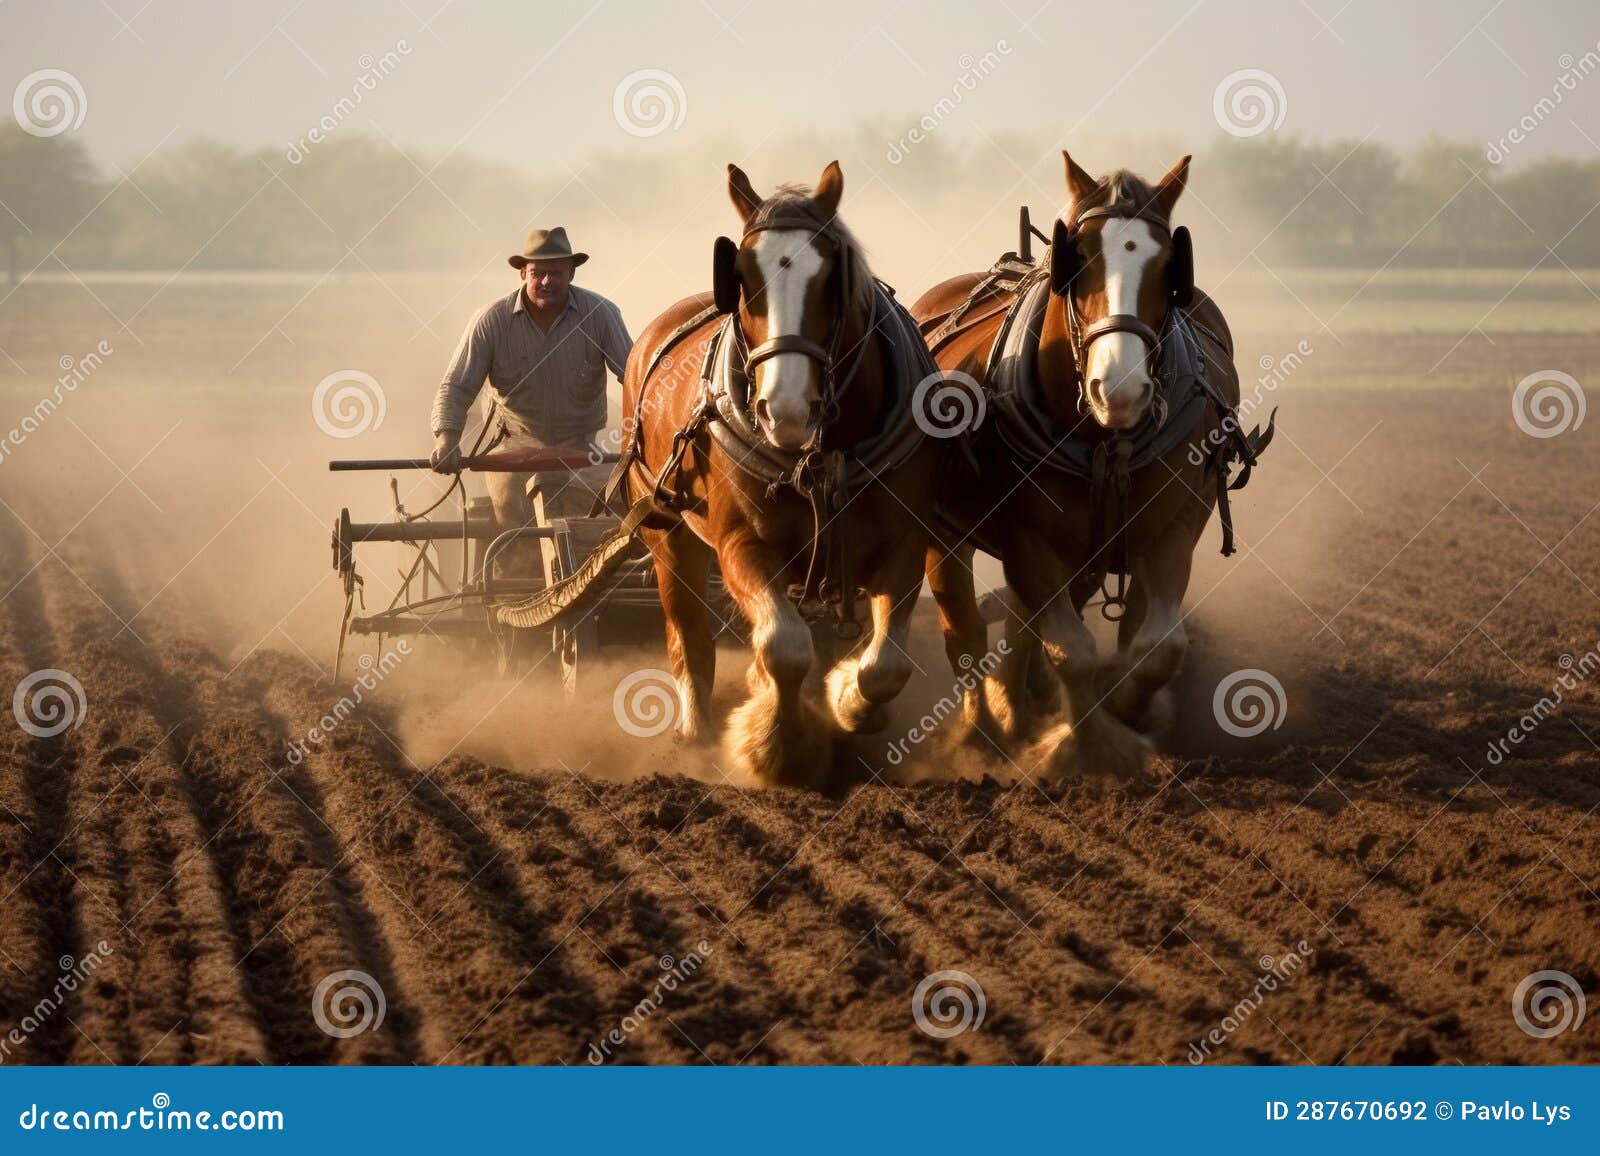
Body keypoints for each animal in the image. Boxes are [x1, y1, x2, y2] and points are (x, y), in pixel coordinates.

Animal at [618, 161, 941, 787]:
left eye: (831, 277)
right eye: (741, 278)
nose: (784, 410)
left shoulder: (903, 543)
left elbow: (886, 664)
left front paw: (849, 703)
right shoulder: (740, 544)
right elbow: (783, 644)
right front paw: (777, 747)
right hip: (667, 534)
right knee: (689, 635)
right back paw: (695, 731)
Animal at [911, 150, 1272, 778]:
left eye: (1171, 270)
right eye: (1075, 262)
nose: (1120, 390)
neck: (1108, 438)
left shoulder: (1174, 528)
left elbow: (1157, 647)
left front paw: (1127, 712)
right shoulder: (1029, 540)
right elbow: (1070, 650)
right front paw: (1083, 749)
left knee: (1029, 624)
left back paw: (1018, 706)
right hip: (944, 533)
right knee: (965, 631)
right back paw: (980, 735)